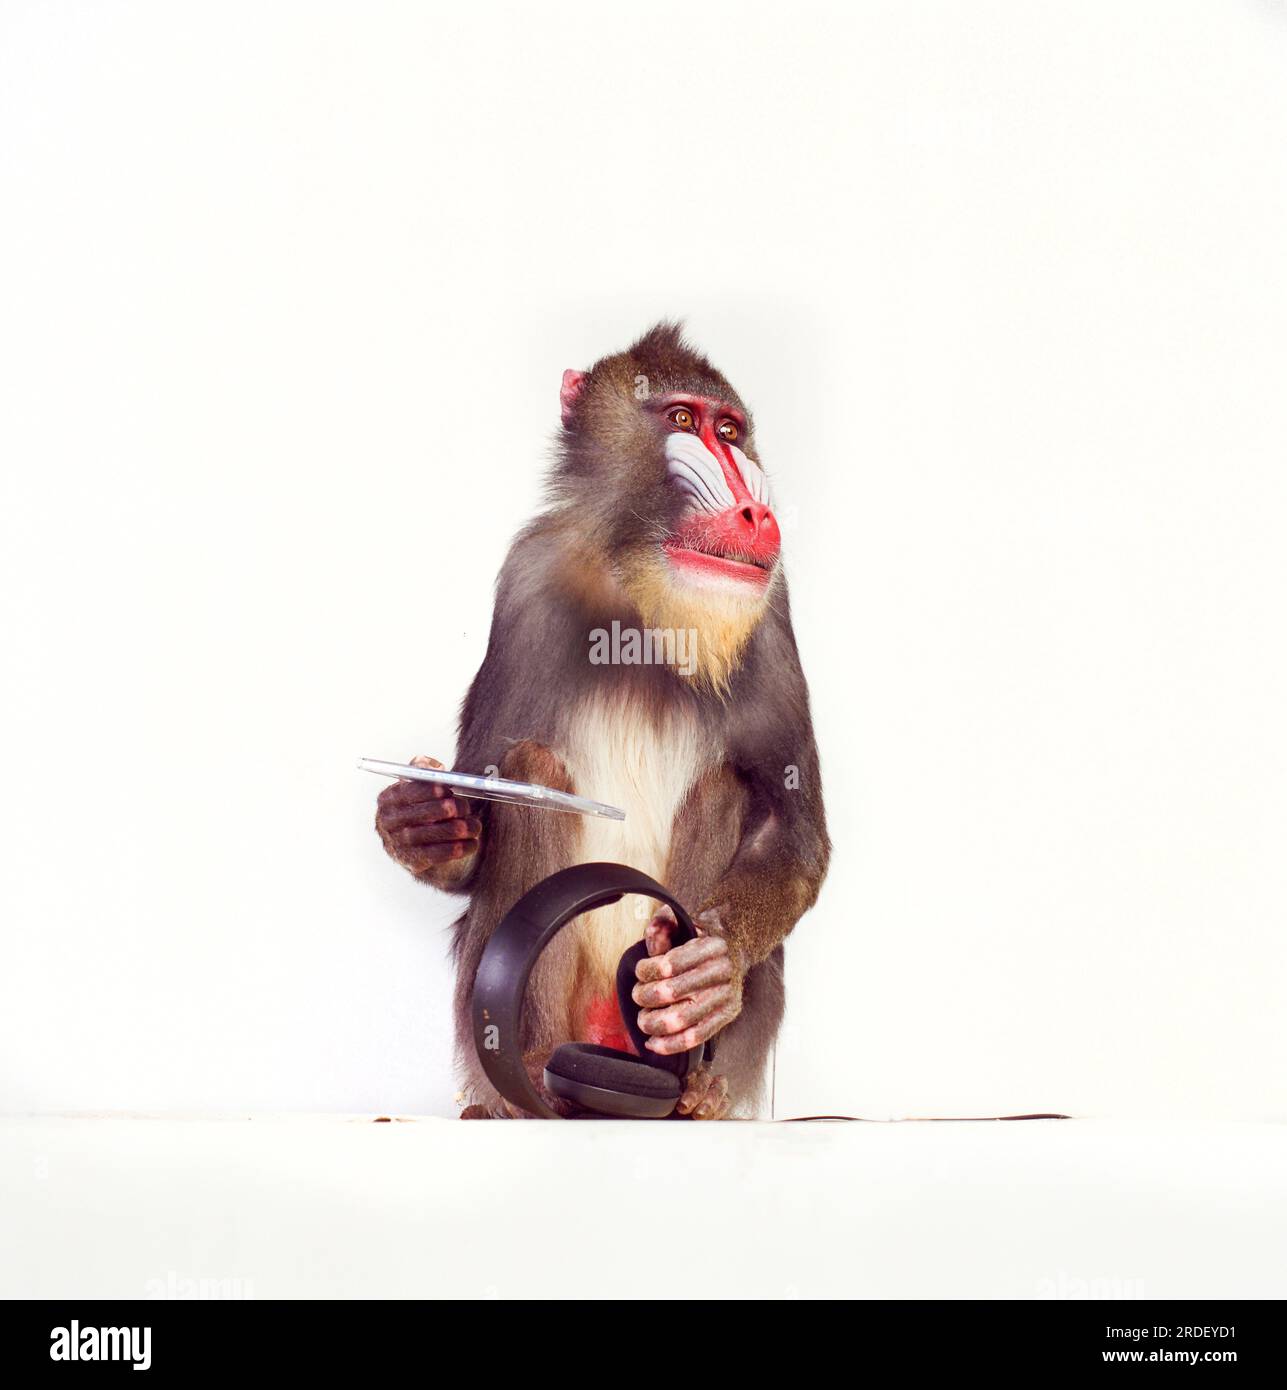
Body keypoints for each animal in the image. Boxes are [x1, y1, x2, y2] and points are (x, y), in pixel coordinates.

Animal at [375, 323, 830, 1119]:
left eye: (729, 431)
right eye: (681, 420)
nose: (754, 512)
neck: (639, 593)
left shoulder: (769, 612)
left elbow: (795, 835)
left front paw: (709, 974)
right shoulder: (524, 583)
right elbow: (485, 802)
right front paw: (421, 824)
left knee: (725, 788)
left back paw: (698, 1086)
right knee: (534, 768)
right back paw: (518, 1082)